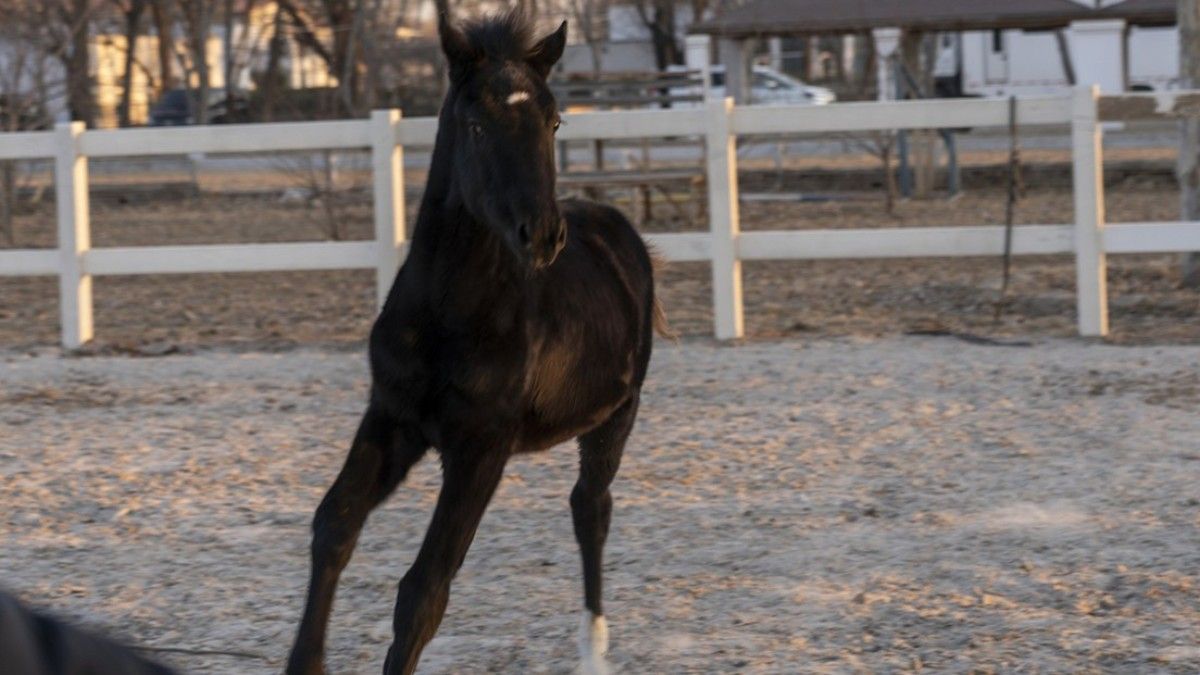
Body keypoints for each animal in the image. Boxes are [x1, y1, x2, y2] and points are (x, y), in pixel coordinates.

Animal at [286, 11, 665, 675]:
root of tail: (616, 225)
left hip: (617, 414)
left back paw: (593, 648)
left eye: (554, 120)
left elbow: (424, 589)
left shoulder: (482, 446)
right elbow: (334, 525)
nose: (542, 235)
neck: (449, 311)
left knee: (591, 508)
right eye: (475, 123)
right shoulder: (393, 418)